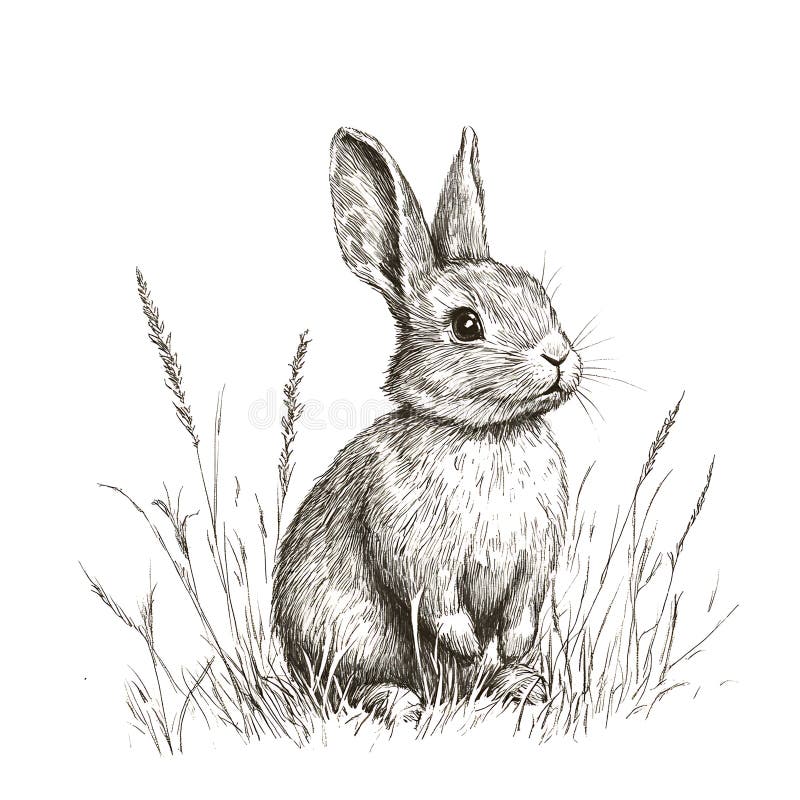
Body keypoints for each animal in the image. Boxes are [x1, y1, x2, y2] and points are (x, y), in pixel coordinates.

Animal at [272, 126, 583, 717]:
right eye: (465, 325)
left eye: (545, 300)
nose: (557, 356)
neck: (486, 432)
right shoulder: (416, 552)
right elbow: (437, 603)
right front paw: (467, 644)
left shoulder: (534, 562)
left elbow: (522, 612)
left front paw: (513, 650)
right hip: (343, 634)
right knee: (344, 685)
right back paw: (402, 703)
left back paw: (521, 685)